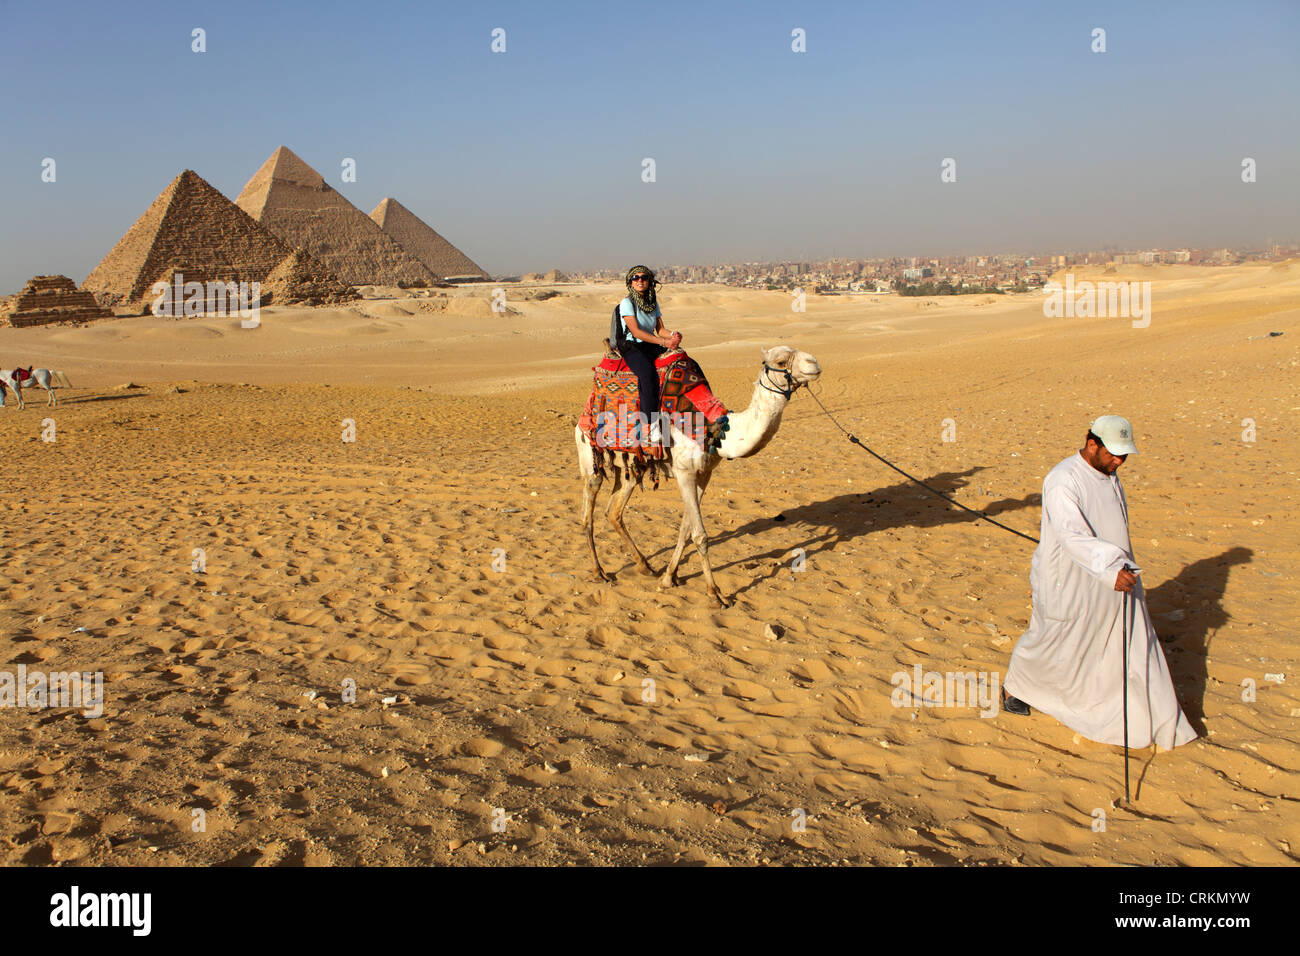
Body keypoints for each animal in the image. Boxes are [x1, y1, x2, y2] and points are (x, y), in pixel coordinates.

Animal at [575, 344, 822, 607]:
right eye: (781, 361)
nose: (814, 363)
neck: (717, 430)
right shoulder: (684, 472)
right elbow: (700, 535)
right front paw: (716, 593)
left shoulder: (704, 474)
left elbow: (685, 530)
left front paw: (668, 577)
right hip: (589, 455)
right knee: (588, 514)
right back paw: (599, 571)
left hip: (630, 466)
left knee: (614, 511)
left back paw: (645, 566)